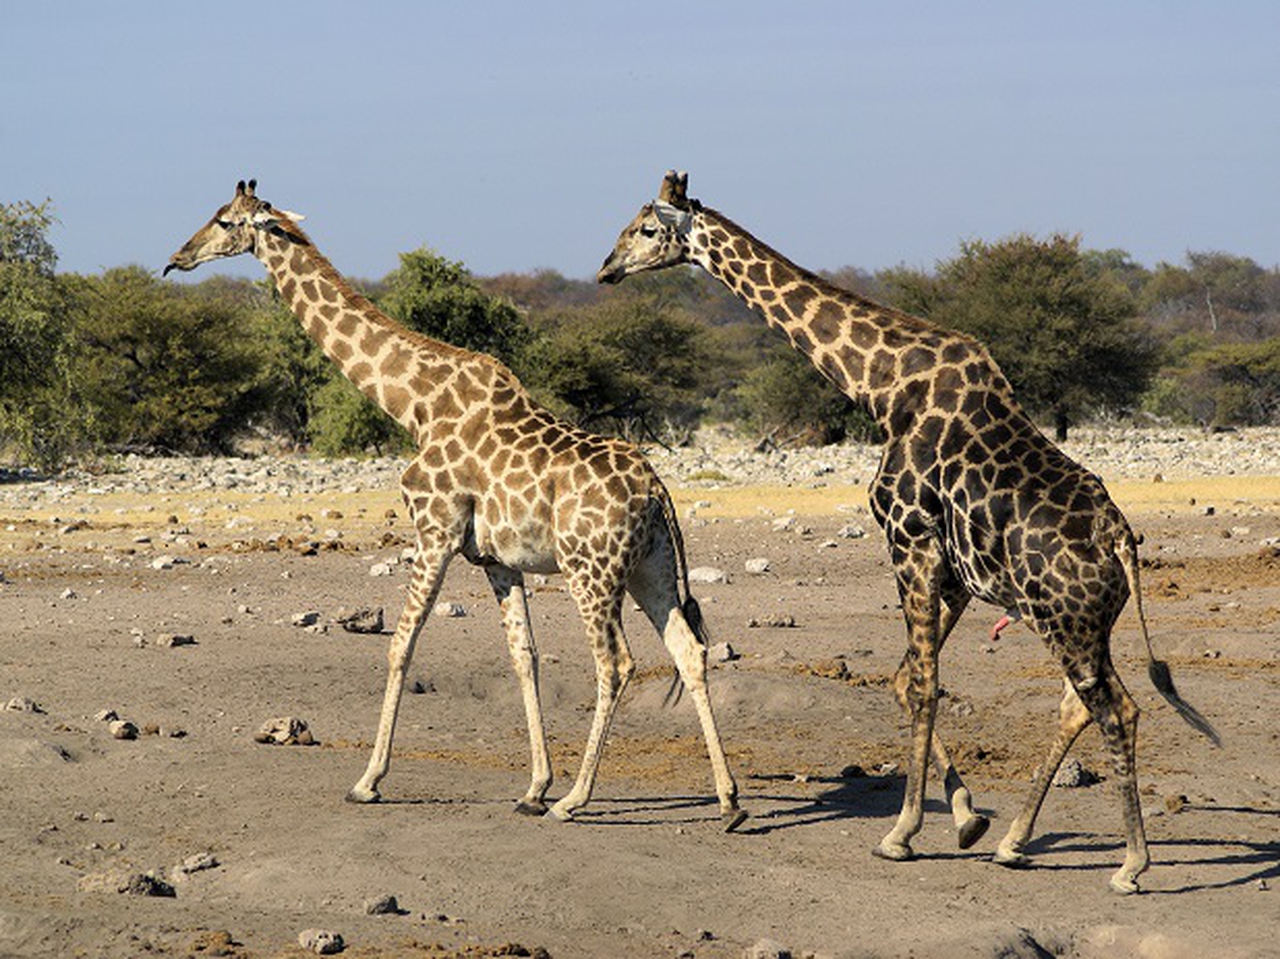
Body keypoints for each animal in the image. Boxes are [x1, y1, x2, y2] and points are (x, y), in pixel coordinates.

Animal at [165, 179, 745, 830]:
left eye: (222, 220)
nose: (177, 258)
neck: (413, 403)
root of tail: (655, 489)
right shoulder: (495, 559)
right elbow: (525, 656)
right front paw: (533, 786)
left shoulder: (434, 530)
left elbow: (401, 644)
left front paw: (368, 780)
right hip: (650, 568)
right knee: (689, 651)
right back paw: (728, 801)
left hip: (590, 570)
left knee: (617, 664)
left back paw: (576, 800)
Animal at [597, 171, 1219, 893]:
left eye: (645, 229)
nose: (606, 269)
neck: (881, 387)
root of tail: (1121, 540)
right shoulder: (955, 573)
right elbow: (904, 678)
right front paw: (967, 818)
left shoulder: (908, 538)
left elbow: (922, 684)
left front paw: (901, 832)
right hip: (1082, 622)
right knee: (1081, 704)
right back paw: (1015, 842)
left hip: (1066, 620)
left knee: (1117, 708)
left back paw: (1131, 863)